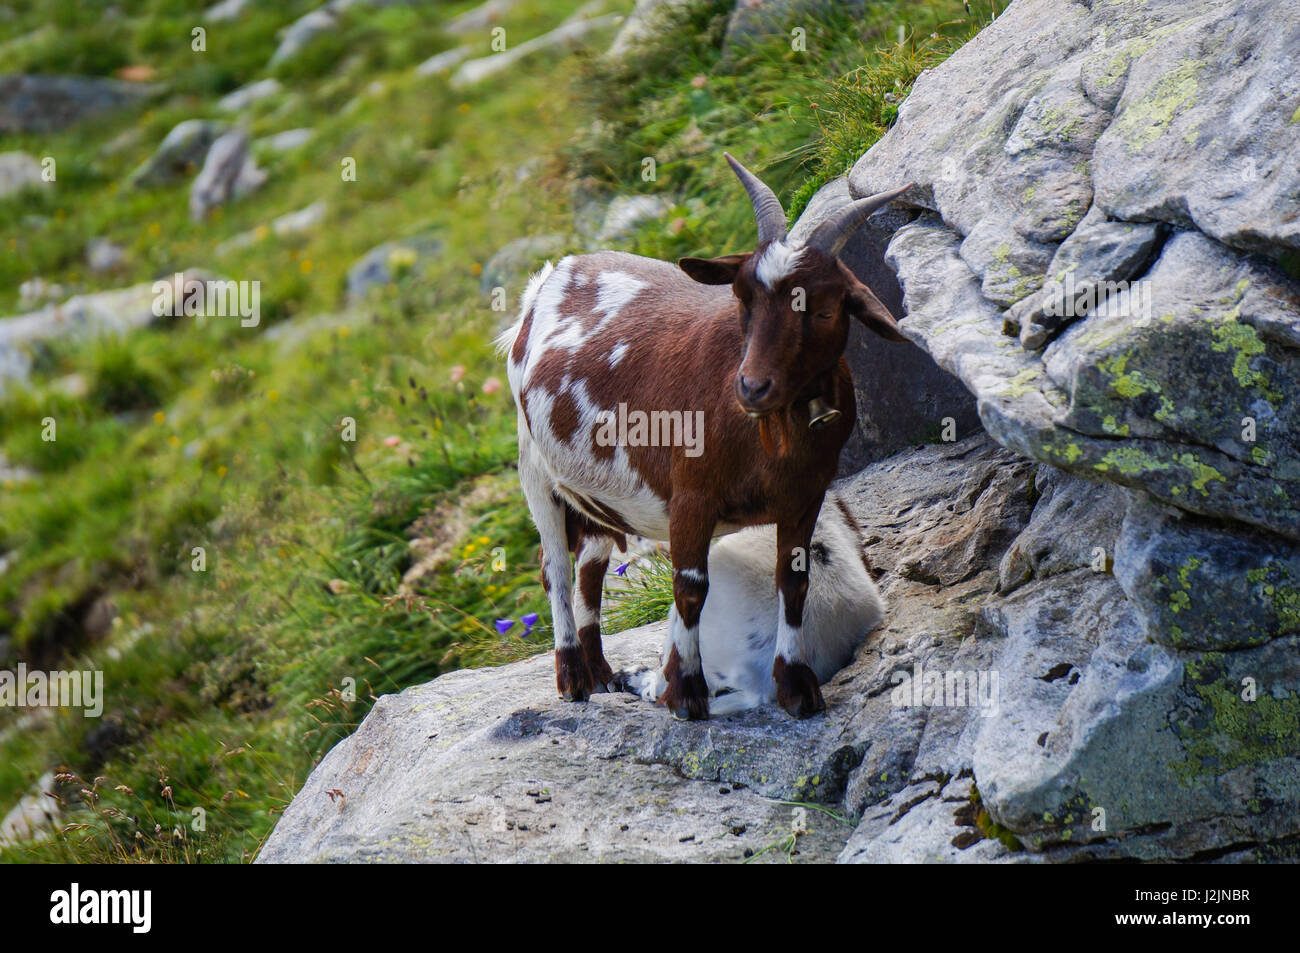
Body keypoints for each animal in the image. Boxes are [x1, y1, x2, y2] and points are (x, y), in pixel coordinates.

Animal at [499, 153, 910, 719]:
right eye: (742, 297)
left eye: (825, 309)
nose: (752, 386)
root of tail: (555, 274)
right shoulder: (691, 496)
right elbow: (690, 587)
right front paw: (686, 695)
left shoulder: (806, 496)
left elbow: (794, 580)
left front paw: (797, 688)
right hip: (534, 465)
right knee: (555, 566)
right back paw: (573, 678)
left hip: (597, 490)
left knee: (591, 565)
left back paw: (601, 672)